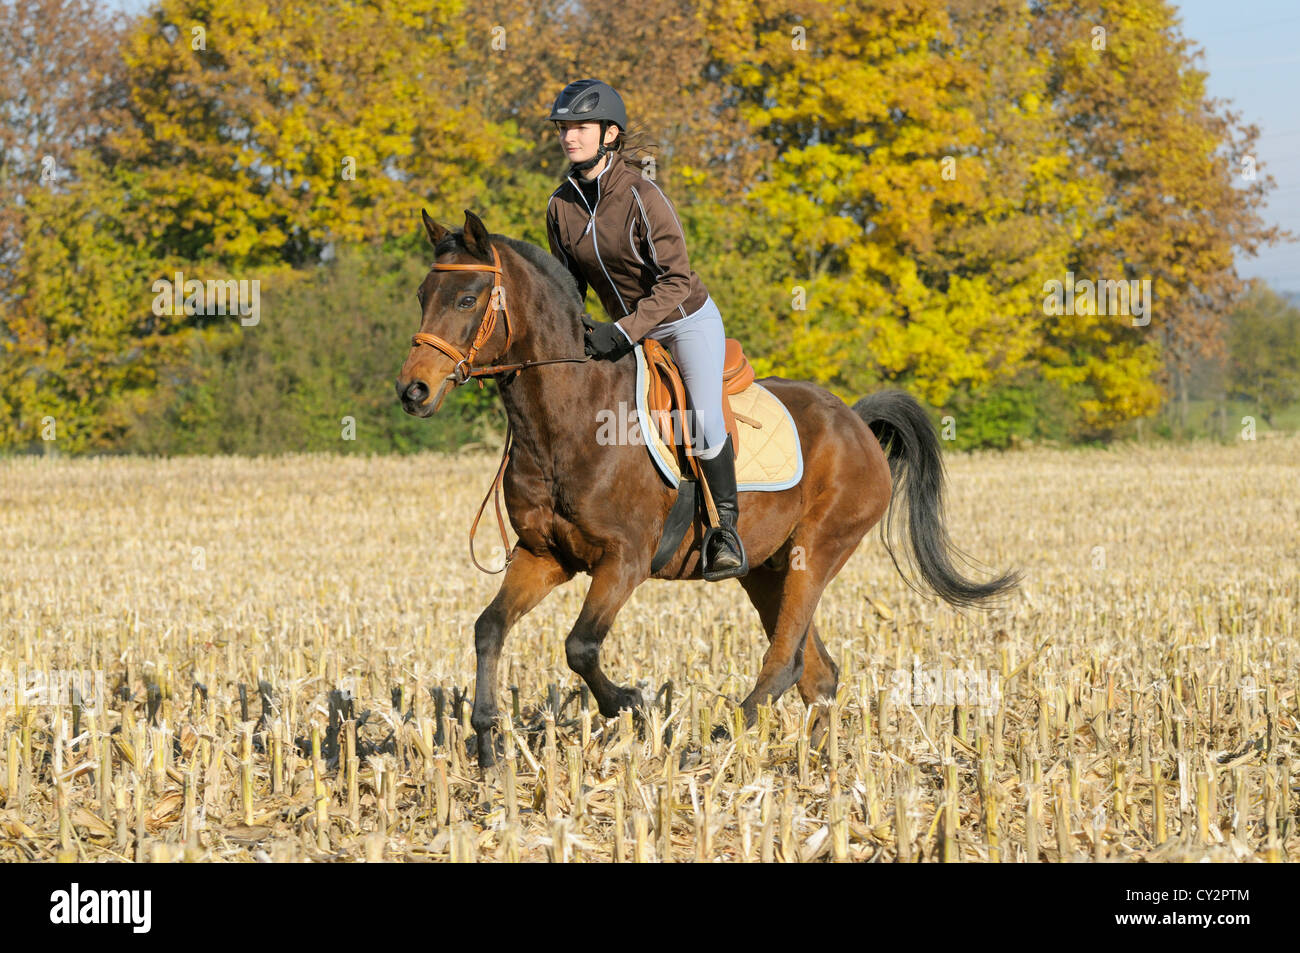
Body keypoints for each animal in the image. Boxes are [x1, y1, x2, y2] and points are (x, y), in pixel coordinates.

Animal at [396, 209, 1019, 769]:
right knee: (816, 673)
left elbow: (580, 645)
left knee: (785, 662)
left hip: (815, 551)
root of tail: (857, 421)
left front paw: (631, 704)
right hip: (764, 569)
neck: (564, 420)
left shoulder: (624, 560)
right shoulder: (544, 556)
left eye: (467, 299)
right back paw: (814, 766)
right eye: (424, 293)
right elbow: (489, 628)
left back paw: (711, 742)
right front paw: (486, 741)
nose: (413, 391)